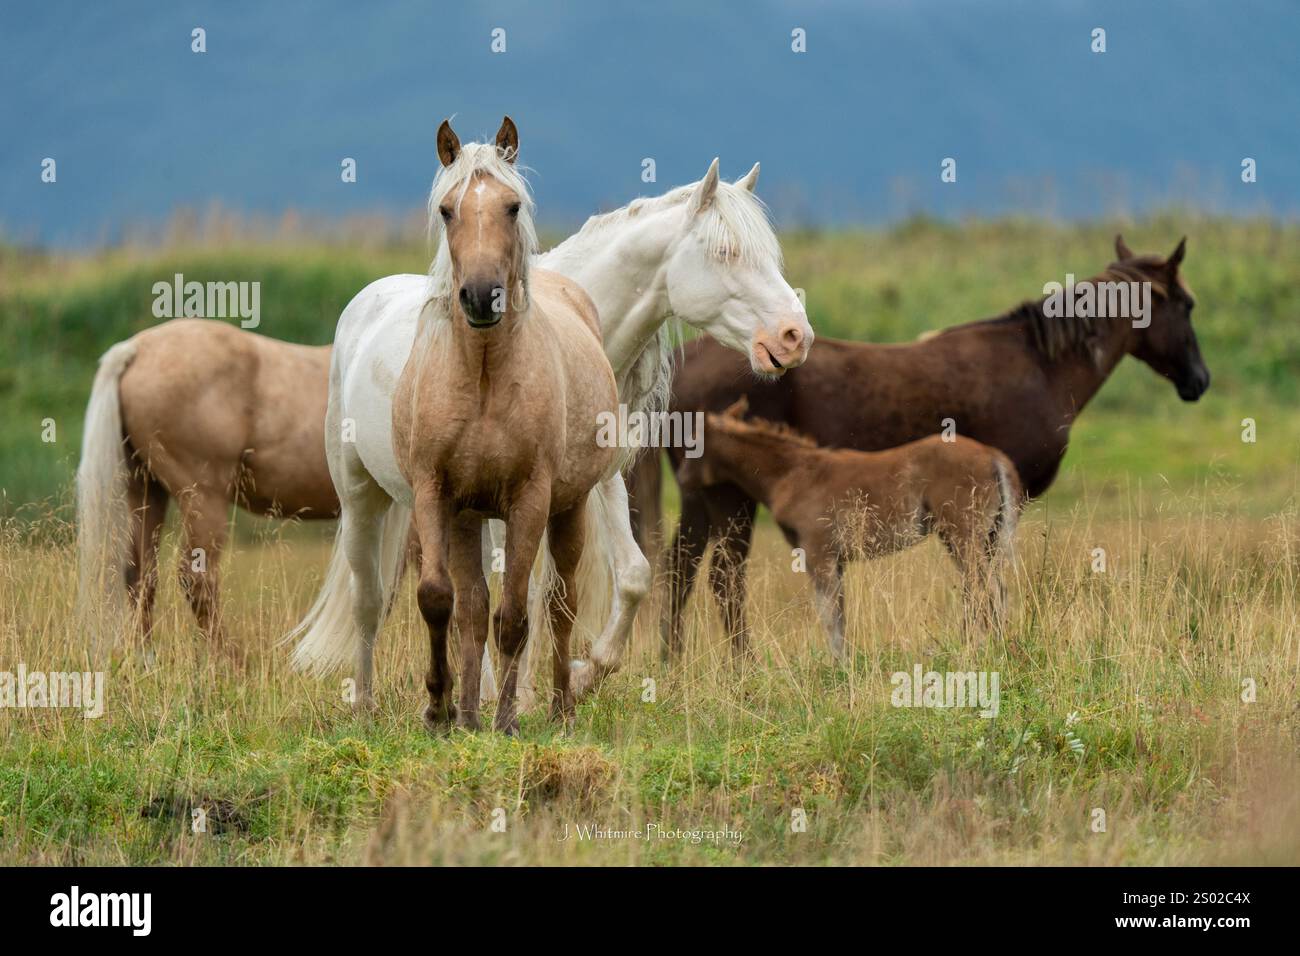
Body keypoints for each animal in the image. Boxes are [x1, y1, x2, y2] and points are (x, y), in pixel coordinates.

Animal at [77, 154, 813, 688]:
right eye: (725, 253)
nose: (794, 336)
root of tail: (136, 347)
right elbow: (507, 591)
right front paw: (507, 690)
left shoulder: (584, 481)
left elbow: (621, 578)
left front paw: (581, 674)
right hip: (217, 495)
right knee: (198, 582)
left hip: (151, 492)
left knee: (139, 576)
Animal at [675, 398, 1021, 658]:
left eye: (694, 443)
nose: (682, 480)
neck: (794, 475)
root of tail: (993, 455)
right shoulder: (835, 559)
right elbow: (839, 610)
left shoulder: (819, 553)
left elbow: (829, 612)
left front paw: (838, 665)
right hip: (984, 538)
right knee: (992, 589)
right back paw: (995, 646)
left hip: (963, 535)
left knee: (985, 589)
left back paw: (979, 650)